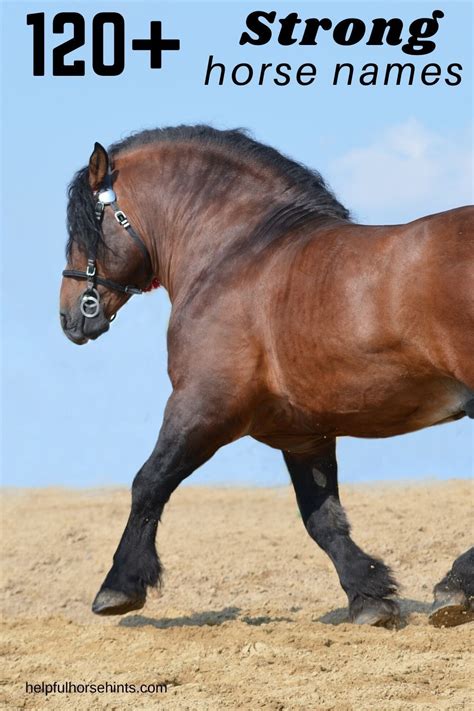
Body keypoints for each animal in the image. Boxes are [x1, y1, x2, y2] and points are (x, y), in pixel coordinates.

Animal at [59, 125, 474, 628]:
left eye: (83, 225)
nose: (69, 317)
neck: (240, 254)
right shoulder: (303, 435)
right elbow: (323, 520)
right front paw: (370, 597)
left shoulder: (204, 407)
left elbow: (149, 482)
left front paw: (118, 587)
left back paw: (455, 587)